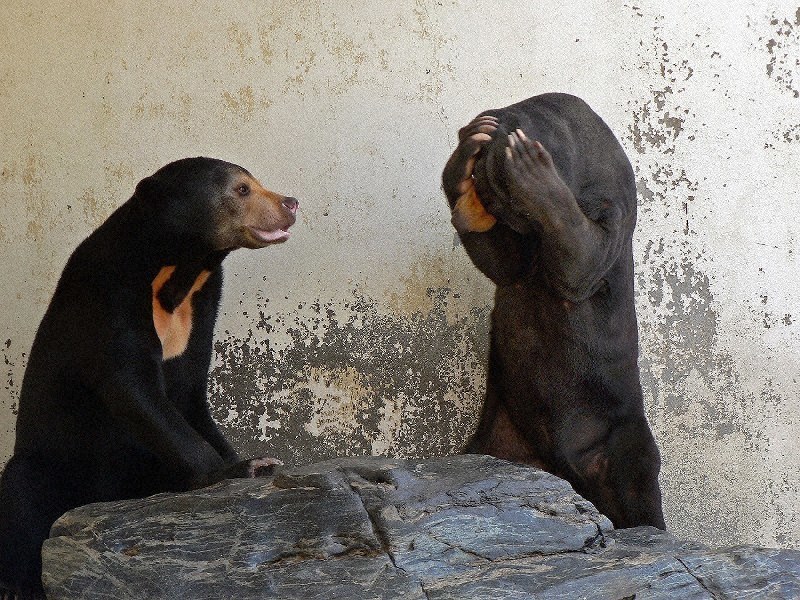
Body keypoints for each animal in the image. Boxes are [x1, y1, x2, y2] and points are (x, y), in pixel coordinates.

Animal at [0, 157, 298, 599]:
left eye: (255, 183)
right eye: (242, 189)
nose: (291, 203)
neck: (179, 271)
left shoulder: (202, 308)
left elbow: (190, 394)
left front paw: (246, 459)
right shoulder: (109, 296)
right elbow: (133, 388)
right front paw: (240, 468)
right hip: (54, 461)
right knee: (23, 493)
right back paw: (17, 584)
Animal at [442, 93, 665, 530]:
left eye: (510, 198)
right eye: (491, 198)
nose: (484, 202)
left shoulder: (610, 197)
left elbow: (582, 261)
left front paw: (530, 166)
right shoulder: (524, 250)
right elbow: (506, 264)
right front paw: (468, 147)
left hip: (616, 428)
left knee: (638, 479)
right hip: (507, 428)